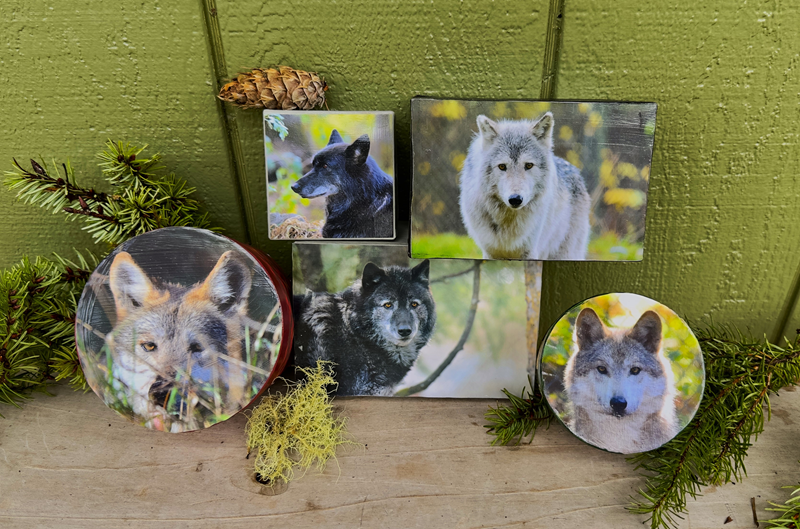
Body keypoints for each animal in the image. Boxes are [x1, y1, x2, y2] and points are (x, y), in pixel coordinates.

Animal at [459, 112, 591, 260]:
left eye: (528, 165)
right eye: (502, 166)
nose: (515, 199)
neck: (508, 222)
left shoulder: (530, 252)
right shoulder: (489, 252)